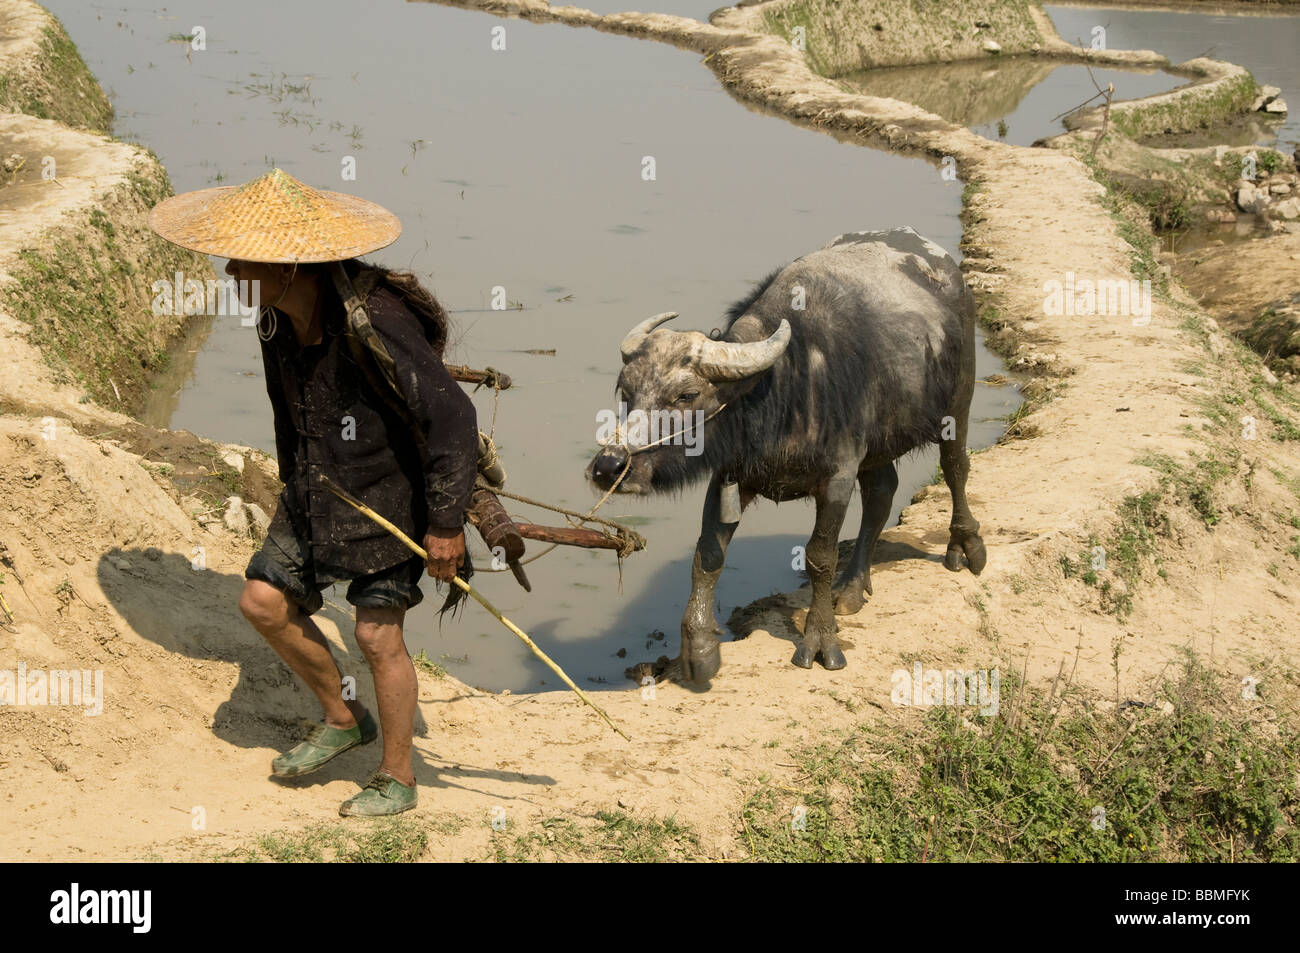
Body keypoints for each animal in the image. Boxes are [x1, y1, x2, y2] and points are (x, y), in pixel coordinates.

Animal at [587, 228, 986, 683]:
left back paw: (966, 547)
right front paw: (699, 649)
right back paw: (852, 587)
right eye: (626, 391)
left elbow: (819, 557)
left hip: (958, 403)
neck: (785, 389)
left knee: (955, 468)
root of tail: (948, 272)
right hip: (878, 446)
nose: (609, 467)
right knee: (883, 494)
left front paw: (820, 641)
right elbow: (708, 553)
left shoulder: (838, 477)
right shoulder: (731, 476)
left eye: (686, 395)